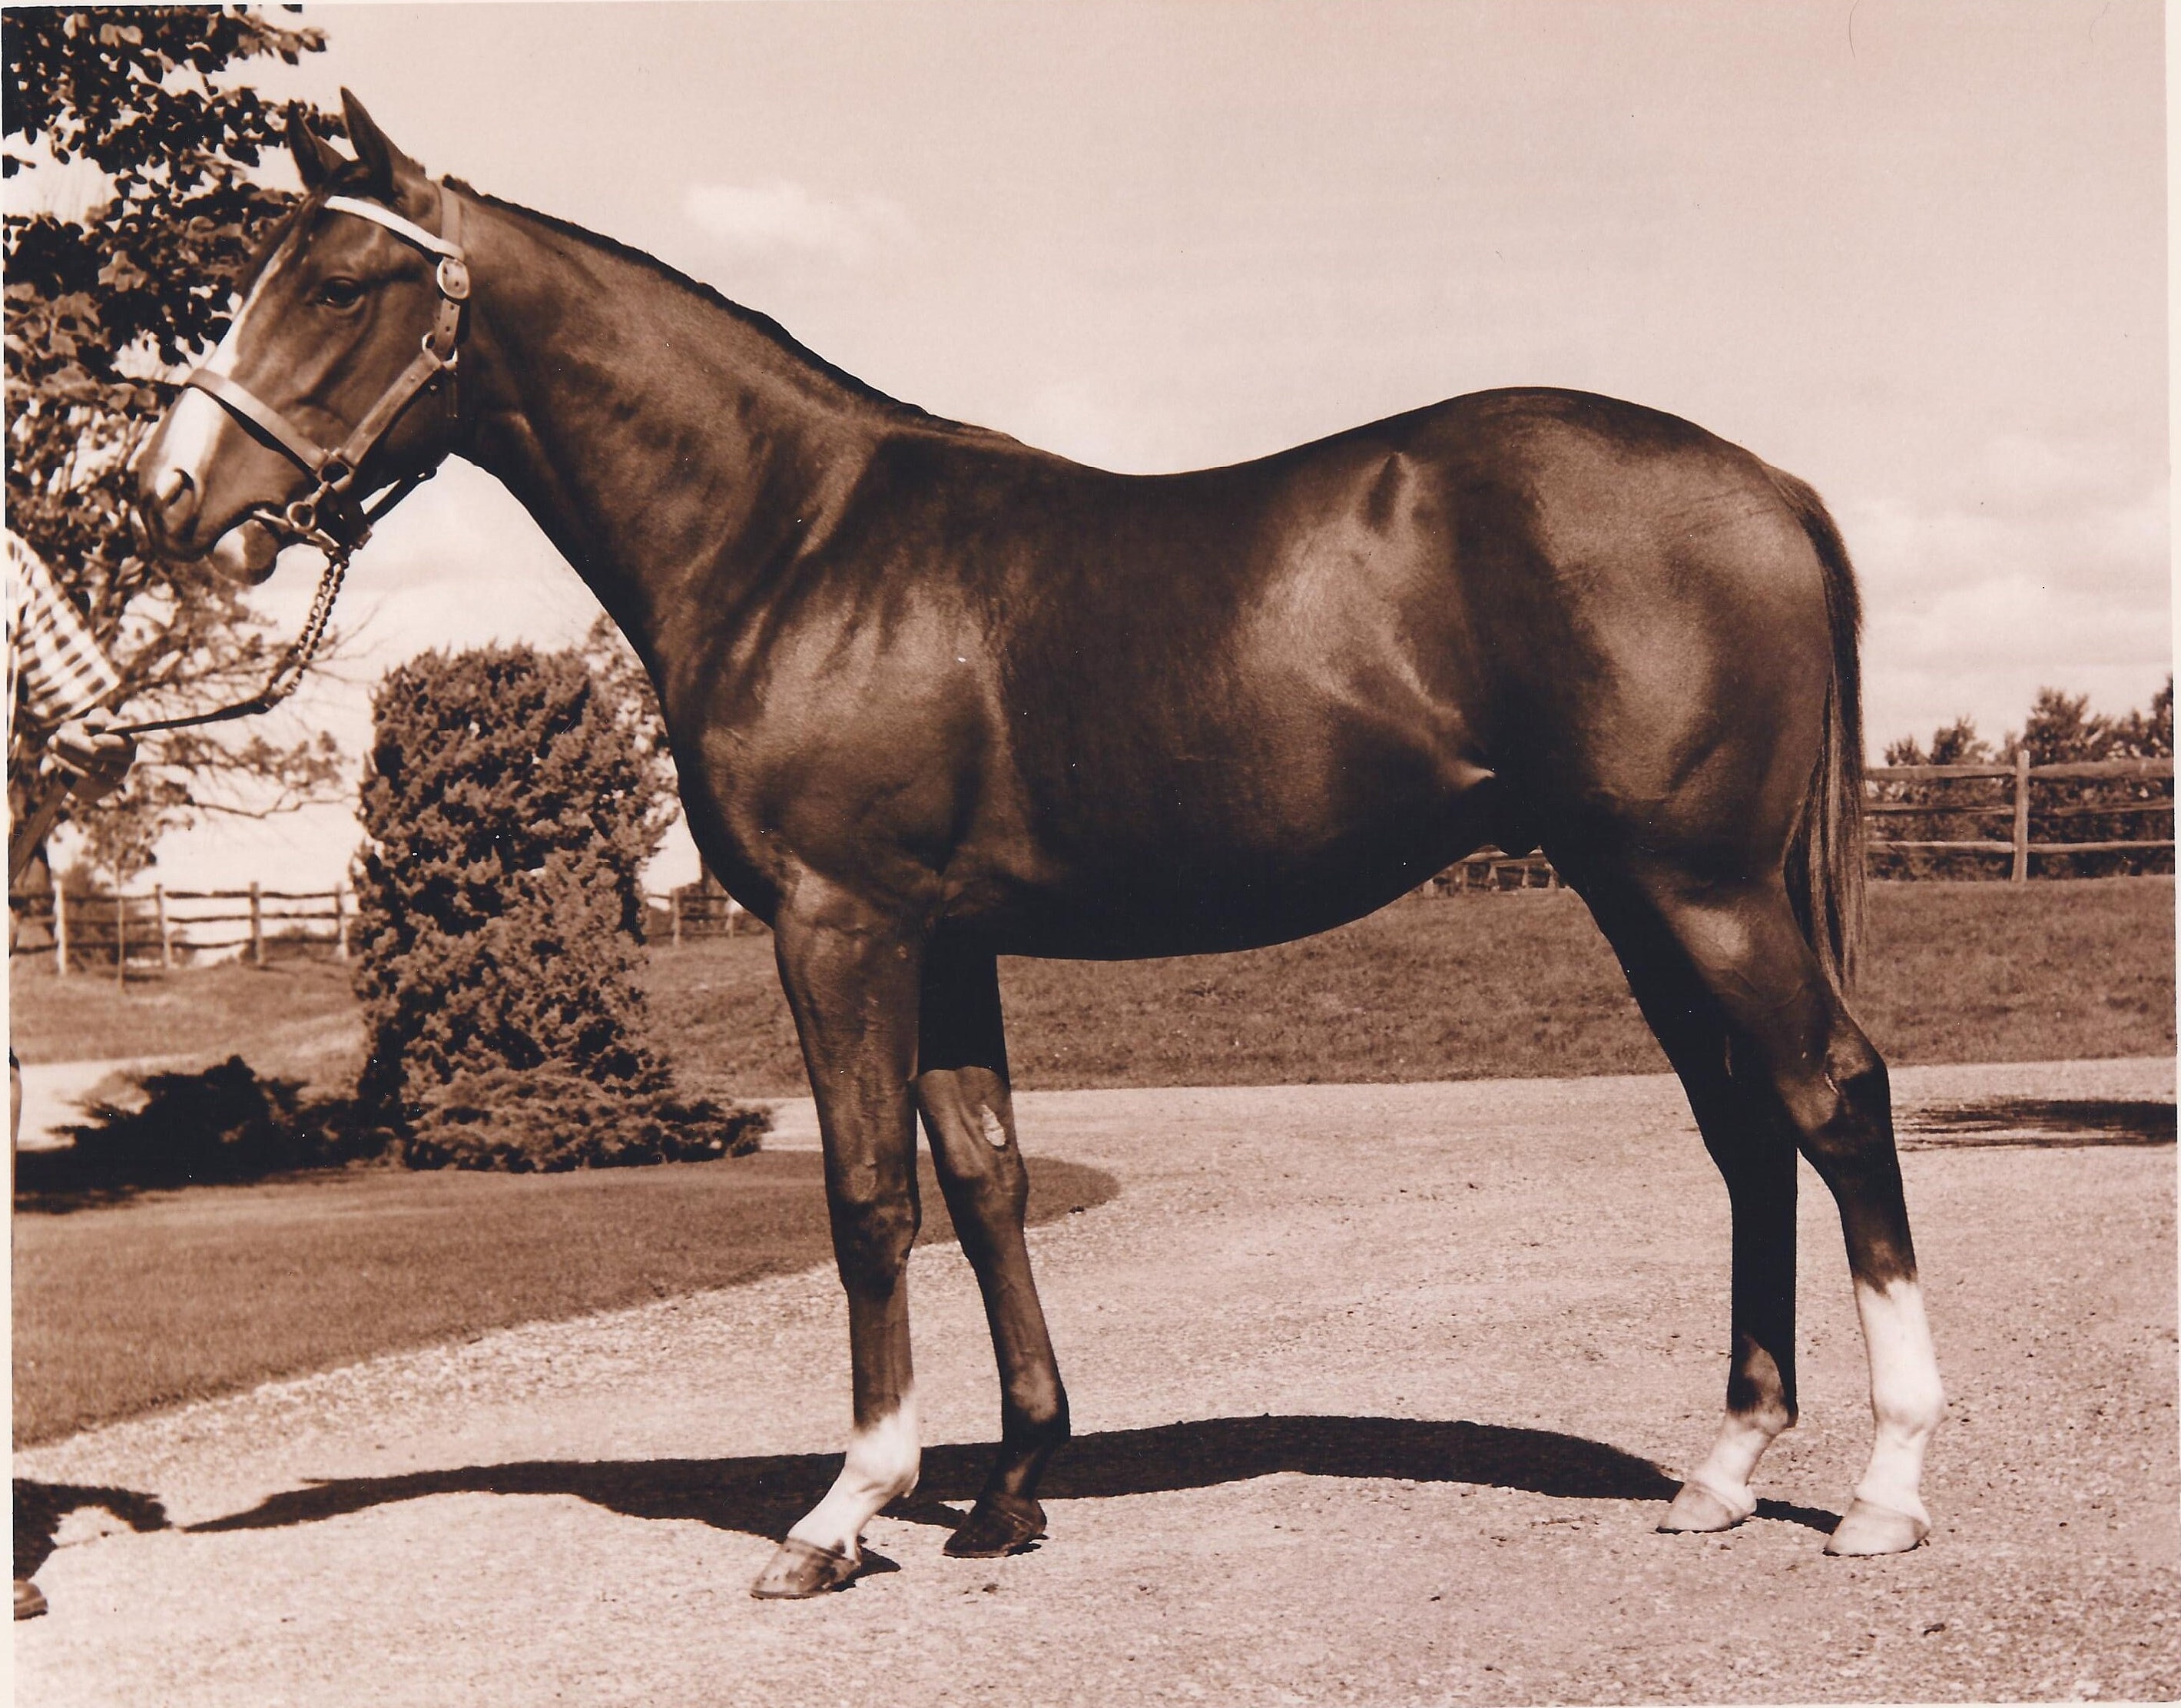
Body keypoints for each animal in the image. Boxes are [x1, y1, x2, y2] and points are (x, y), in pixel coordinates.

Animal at [135, 92, 1944, 1597]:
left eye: (339, 285)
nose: (166, 500)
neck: (795, 536)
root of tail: (1767, 485)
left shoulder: (838, 923)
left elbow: (867, 1192)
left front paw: (842, 1508)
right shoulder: (945, 937)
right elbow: (986, 1175)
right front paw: (1008, 1488)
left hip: (1699, 887)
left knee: (1833, 1095)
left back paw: (1883, 1487)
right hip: (1640, 894)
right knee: (1745, 1128)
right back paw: (1723, 1467)